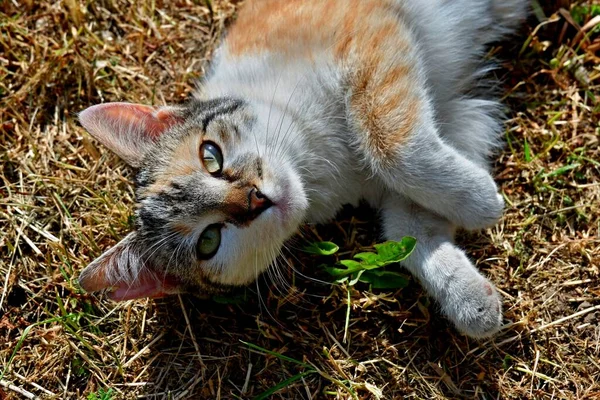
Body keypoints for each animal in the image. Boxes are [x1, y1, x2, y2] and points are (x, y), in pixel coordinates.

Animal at [76, 0, 524, 338]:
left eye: (210, 156)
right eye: (209, 242)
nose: (255, 198)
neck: (316, 165)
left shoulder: (366, 36)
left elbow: (391, 147)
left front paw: (482, 202)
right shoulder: (436, 128)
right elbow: (409, 231)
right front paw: (469, 299)